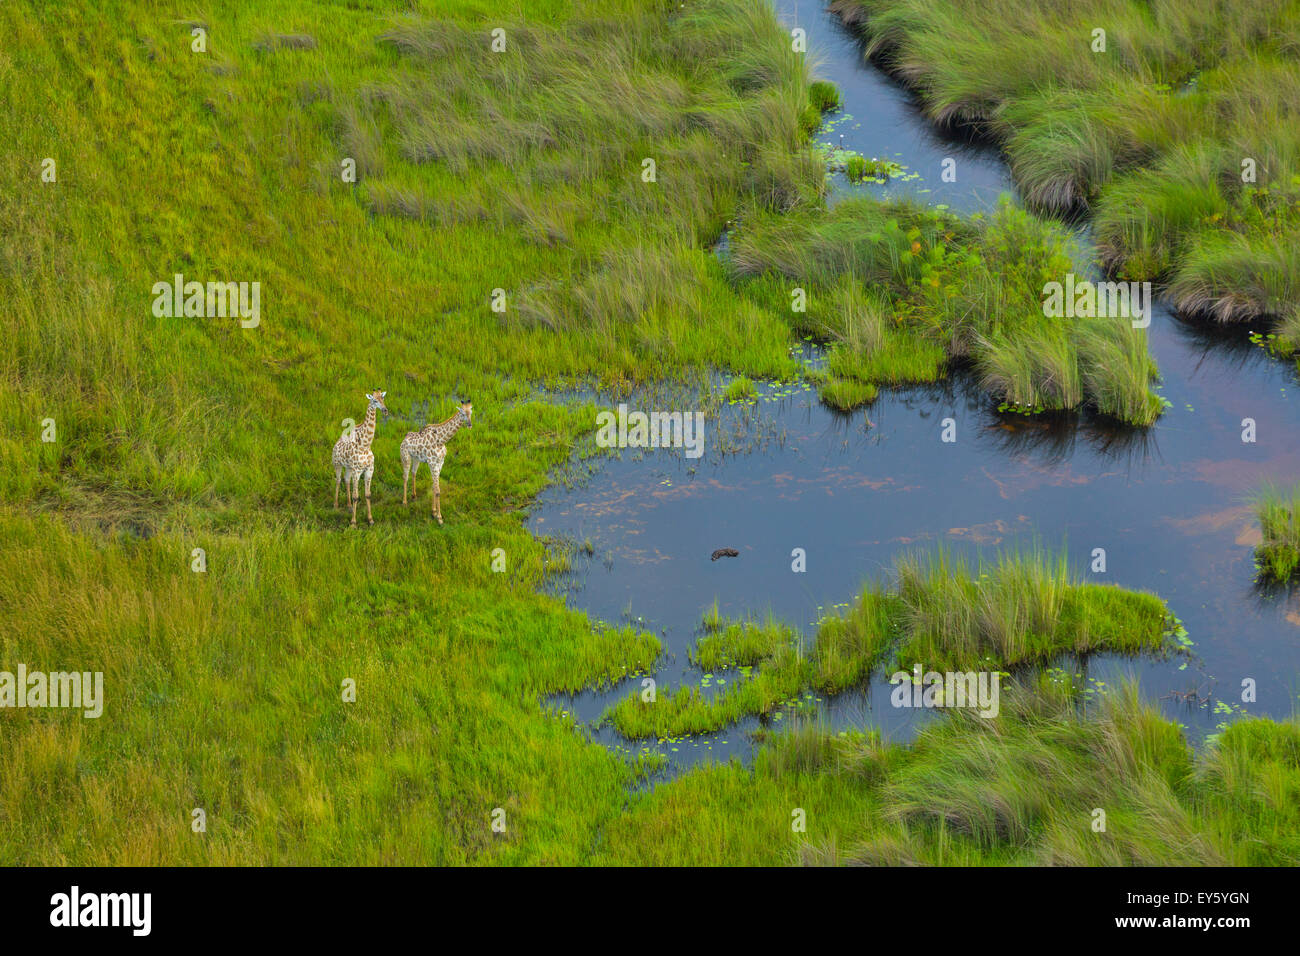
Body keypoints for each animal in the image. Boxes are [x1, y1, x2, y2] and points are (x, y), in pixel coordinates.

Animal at [332, 389, 388, 526]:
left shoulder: (369, 469)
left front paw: (370, 519)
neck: (365, 445)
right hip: (337, 464)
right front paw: (353, 522)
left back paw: (348, 506)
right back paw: (335, 505)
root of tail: (336, 443)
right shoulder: (357, 471)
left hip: (348, 468)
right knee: (338, 480)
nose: (385, 410)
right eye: (374, 400)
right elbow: (356, 496)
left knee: (346, 480)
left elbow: (367, 495)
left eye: (383, 398)